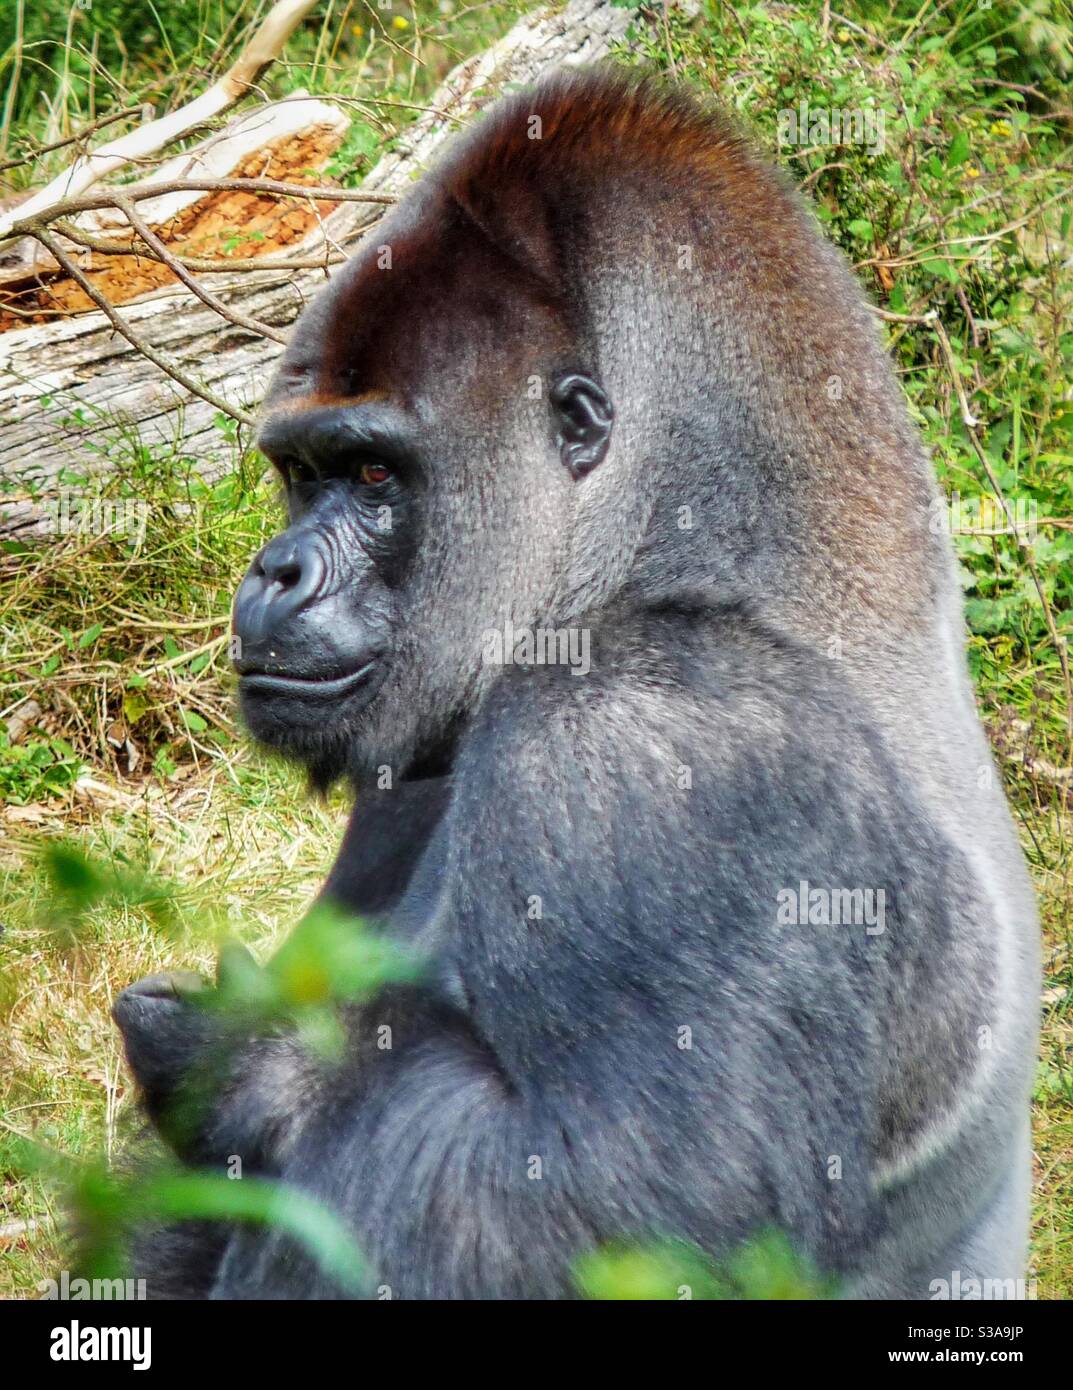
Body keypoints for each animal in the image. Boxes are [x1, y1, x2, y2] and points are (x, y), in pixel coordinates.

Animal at [112, 66, 1040, 1299]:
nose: (275, 570)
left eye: (373, 477)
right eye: (302, 473)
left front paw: (236, 1058)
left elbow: (622, 1208)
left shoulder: (655, 737)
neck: (693, 551)